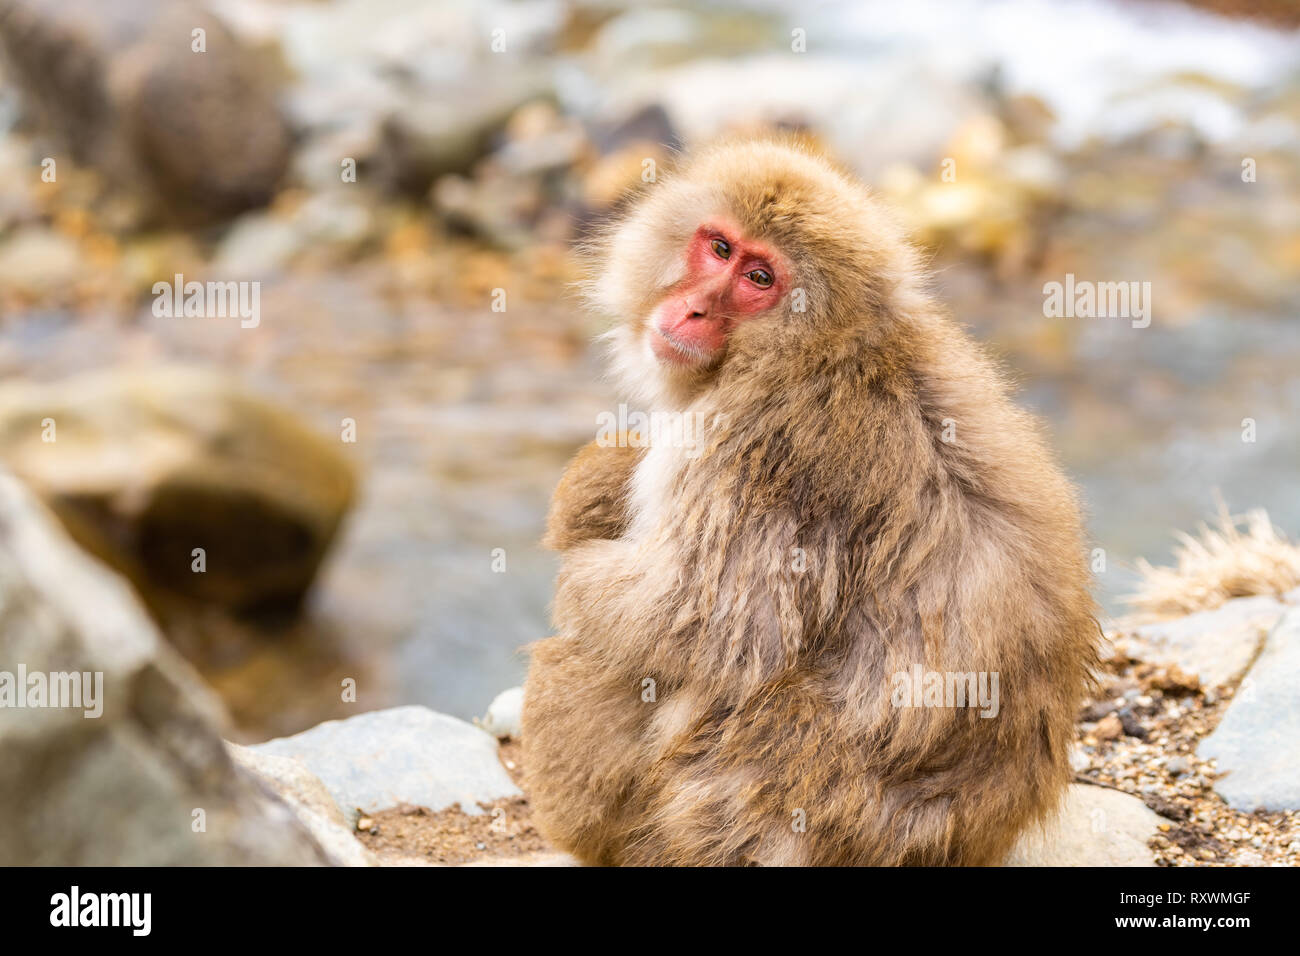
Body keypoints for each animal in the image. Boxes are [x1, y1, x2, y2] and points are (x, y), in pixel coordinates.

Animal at [521, 138, 1100, 866]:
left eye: (759, 278)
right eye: (719, 248)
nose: (693, 310)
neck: (822, 349)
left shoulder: (756, 444)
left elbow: (707, 626)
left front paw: (578, 565)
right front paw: (600, 480)